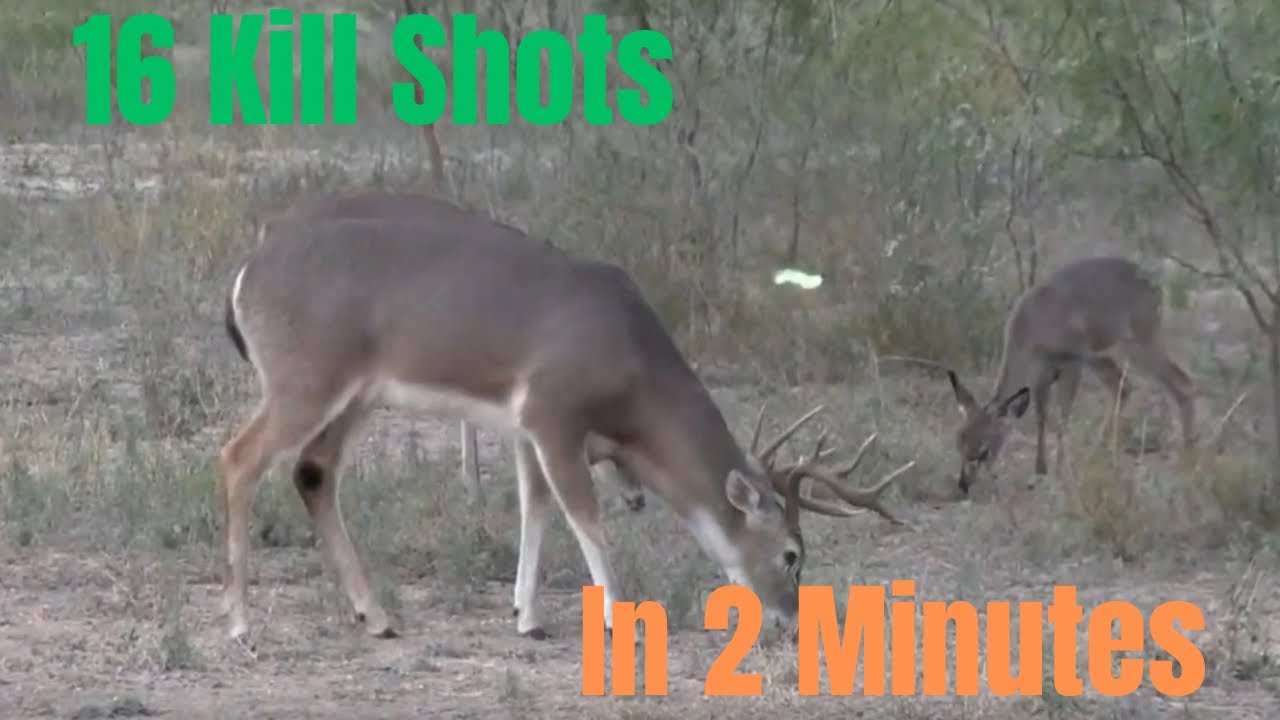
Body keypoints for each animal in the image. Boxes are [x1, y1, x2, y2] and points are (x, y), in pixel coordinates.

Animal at [943, 255, 1197, 496]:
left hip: (1138, 341)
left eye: (984, 450)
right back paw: (1101, 455)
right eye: (959, 442)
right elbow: (1042, 416)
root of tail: (1153, 282)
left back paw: (1187, 460)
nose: (963, 484)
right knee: (1123, 387)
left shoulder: (1072, 363)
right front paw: (1040, 471)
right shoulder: (1042, 373)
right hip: (1100, 357)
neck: (1032, 326)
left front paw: (1057, 471)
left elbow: (1062, 417)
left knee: (1182, 383)